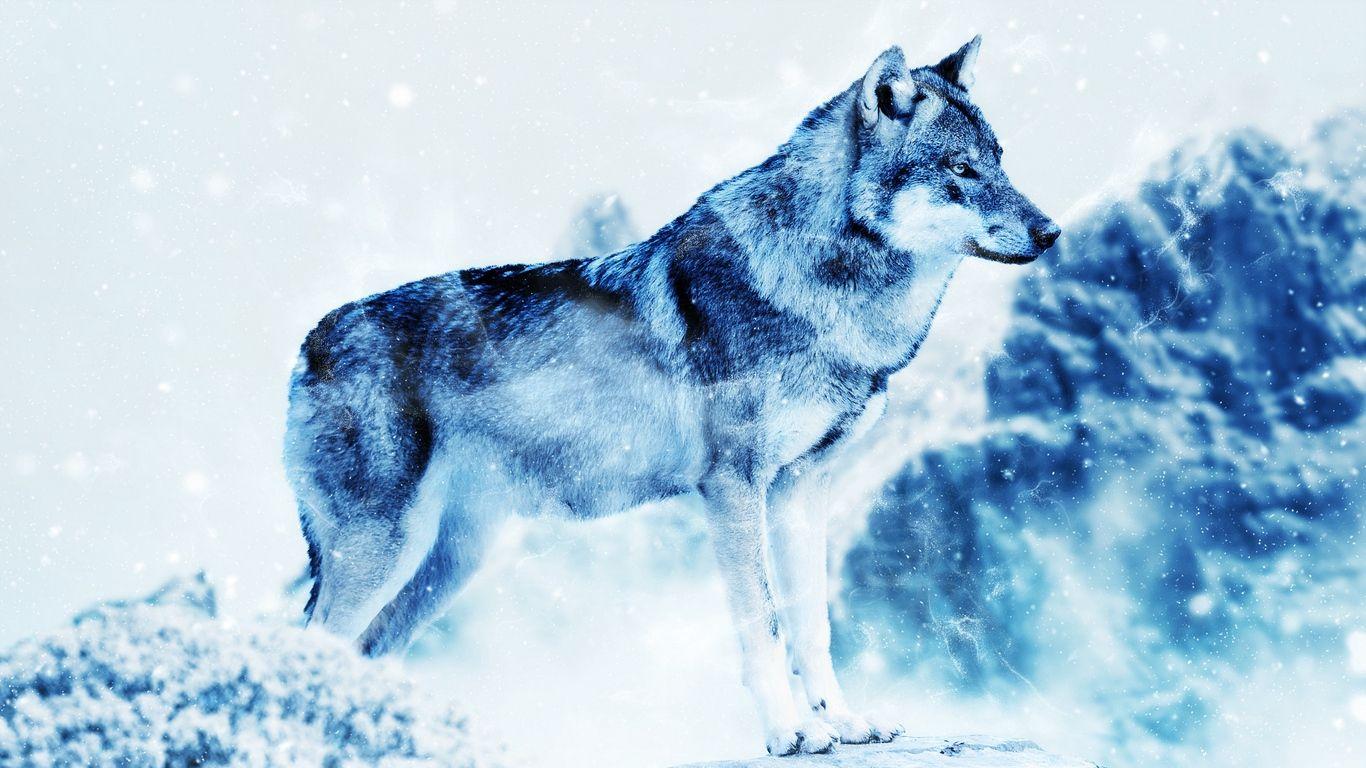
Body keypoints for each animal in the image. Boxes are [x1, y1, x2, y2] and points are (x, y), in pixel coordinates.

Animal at [284, 37, 1058, 756]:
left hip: (450, 561)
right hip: (384, 550)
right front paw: (789, 733)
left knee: (368, 650)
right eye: (960, 170)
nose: (1051, 232)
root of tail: (307, 343)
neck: (820, 293)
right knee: (313, 644)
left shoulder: (804, 486)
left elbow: (813, 623)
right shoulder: (734, 485)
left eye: (1000, 161)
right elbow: (763, 622)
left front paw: (844, 723)